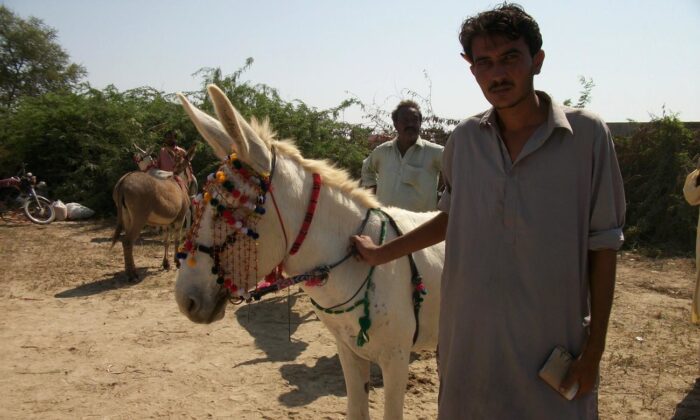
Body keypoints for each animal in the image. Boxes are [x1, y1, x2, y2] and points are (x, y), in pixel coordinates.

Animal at [111, 145, 196, 281]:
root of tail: (123, 182)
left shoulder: (166, 222)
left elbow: (166, 240)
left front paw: (166, 263)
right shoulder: (180, 218)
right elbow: (176, 240)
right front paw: (177, 262)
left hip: (127, 217)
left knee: (126, 242)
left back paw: (130, 271)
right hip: (139, 219)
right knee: (127, 241)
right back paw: (132, 275)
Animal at [174, 85, 444, 420]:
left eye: (228, 209)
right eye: (198, 205)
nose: (185, 300)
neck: (359, 260)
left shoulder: (396, 359)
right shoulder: (350, 351)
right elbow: (356, 410)